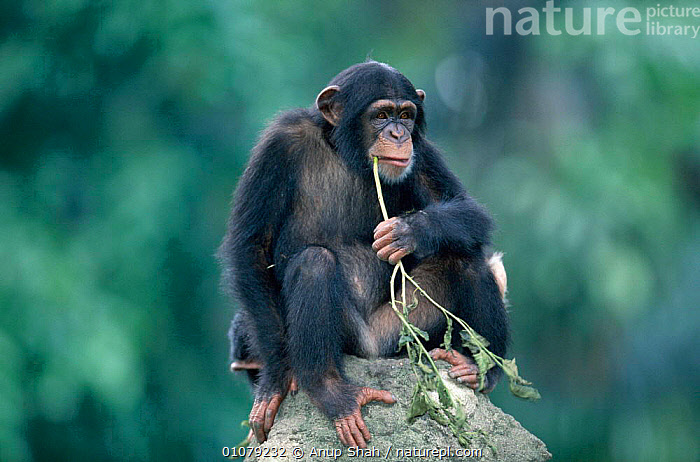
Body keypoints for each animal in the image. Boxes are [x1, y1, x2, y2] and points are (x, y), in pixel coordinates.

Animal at [219, 61, 510, 448]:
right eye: (381, 115)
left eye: (406, 115)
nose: (399, 134)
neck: (343, 152)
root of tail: (373, 352)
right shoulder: (277, 144)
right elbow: (252, 246)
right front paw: (276, 381)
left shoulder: (422, 152)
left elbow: (468, 209)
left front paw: (408, 232)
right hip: (354, 339)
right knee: (314, 264)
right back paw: (331, 390)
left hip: (402, 332)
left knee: (464, 254)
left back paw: (481, 367)